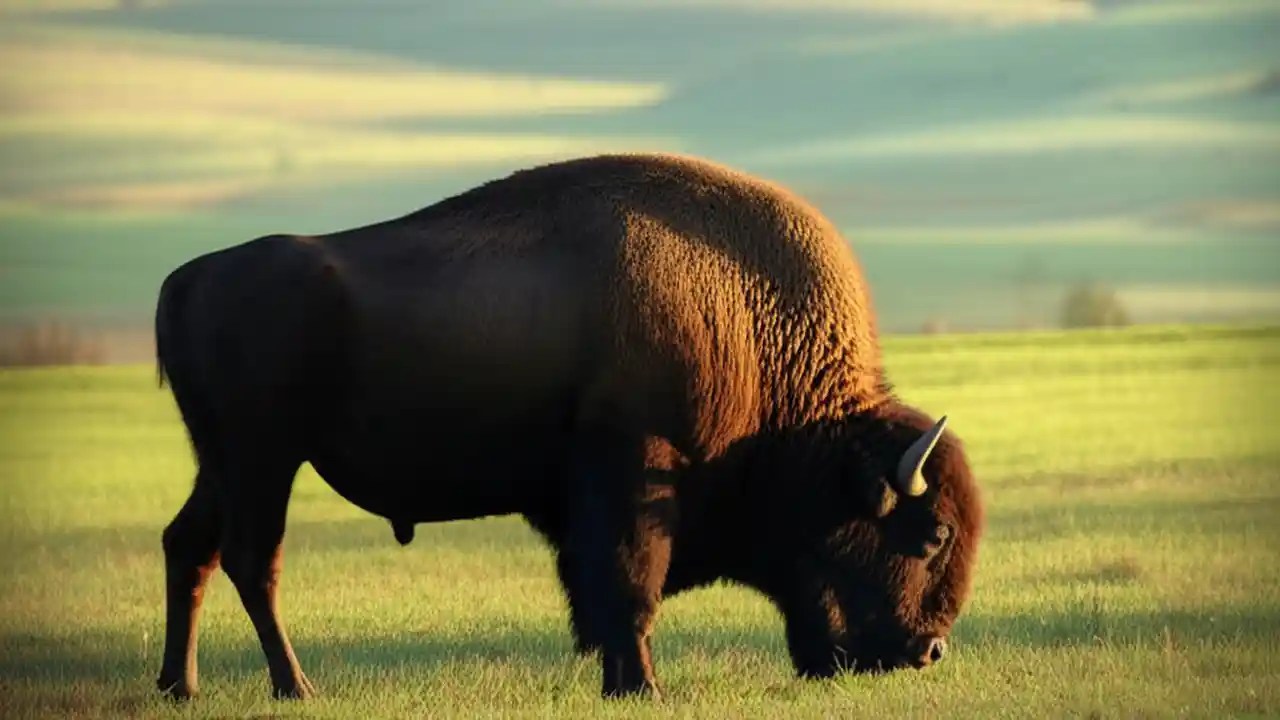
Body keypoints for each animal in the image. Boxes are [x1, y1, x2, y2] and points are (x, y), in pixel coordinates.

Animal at [153, 153, 984, 701]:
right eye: (933, 534)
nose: (929, 651)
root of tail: (186, 278)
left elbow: (602, 590)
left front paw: (620, 682)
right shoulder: (635, 472)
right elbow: (629, 584)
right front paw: (643, 688)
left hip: (220, 464)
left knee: (188, 546)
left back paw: (180, 686)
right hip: (264, 460)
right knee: (253, 560)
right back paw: (295, 687)